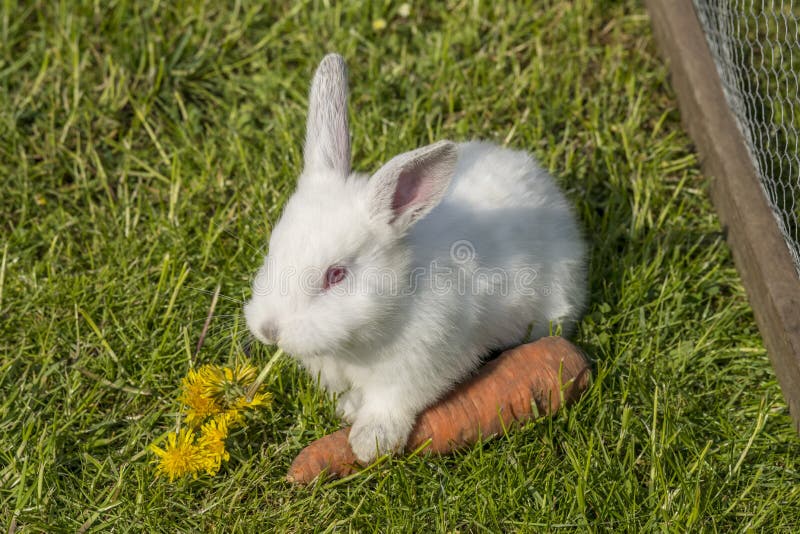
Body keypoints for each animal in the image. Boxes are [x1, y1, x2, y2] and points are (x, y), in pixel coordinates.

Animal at [244, 54, 587, 463]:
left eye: (336, 275)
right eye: (273, 246)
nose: (269, 331)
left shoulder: (421, 364)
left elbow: (392, 402)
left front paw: (370, 442)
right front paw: (348, 409)